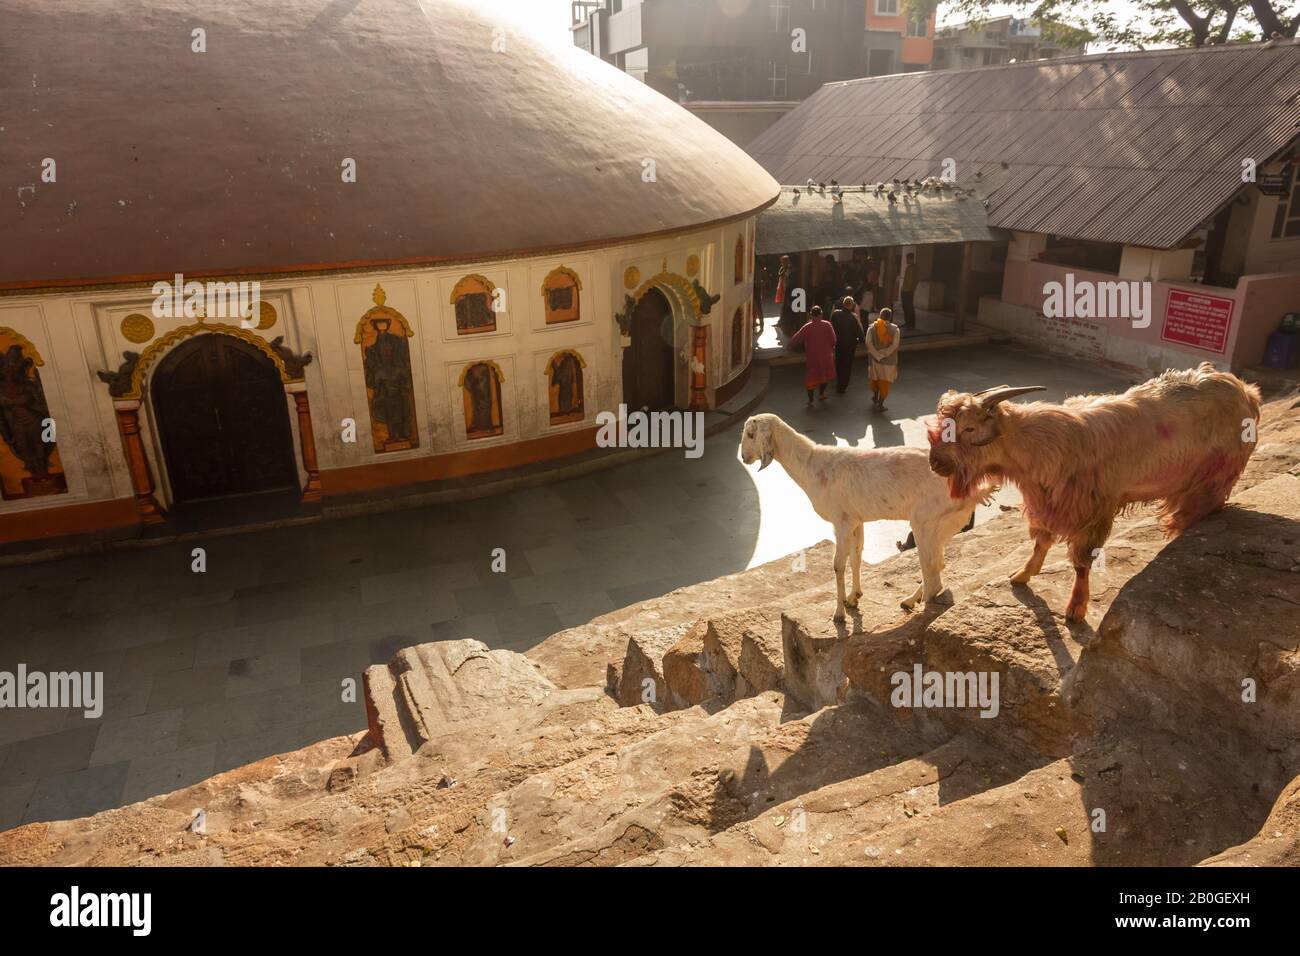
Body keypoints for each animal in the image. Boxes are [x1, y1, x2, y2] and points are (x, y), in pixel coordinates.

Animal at [739, 413, 988, 622]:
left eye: (750, 434)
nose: (744, 457)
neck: (811, 464)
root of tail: (974, 488)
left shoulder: (841, 522)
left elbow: (838, 565)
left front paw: (839, 614)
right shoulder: (856, 520)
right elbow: (856, 556)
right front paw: (853, 597)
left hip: (925, 522)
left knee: (933, 575)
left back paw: (914, 604)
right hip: (944, 526)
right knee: (938, 565)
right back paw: (910, 600)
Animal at [927, 363, 1261, 622]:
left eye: (969, 429)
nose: (935, 463)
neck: (1035, 445)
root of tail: (1247, 391)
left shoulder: (1092, 512)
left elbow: (1082, 563)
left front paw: (1076, 608)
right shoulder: (1045, 503)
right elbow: (1041, 542)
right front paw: (1022, 575)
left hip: (1216, 474)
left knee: (1207, 506)